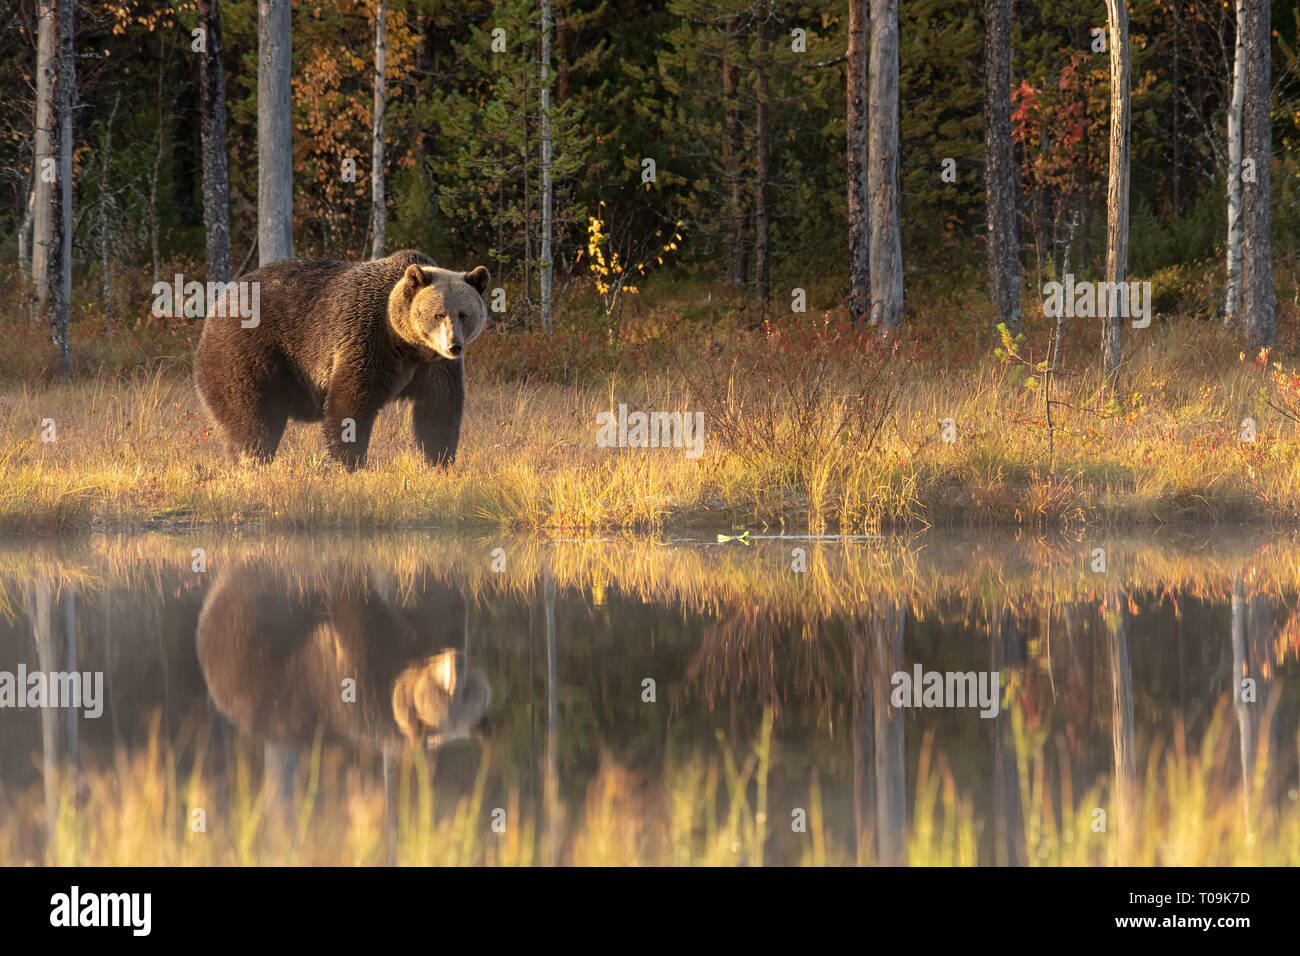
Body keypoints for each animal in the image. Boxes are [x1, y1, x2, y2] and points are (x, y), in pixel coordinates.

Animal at [194, 249, 489, 470]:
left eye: (463, 314)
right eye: (438, 314)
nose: (454, 345)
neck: (406, 343)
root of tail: (221, 300)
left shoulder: (434, 366)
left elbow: (439, 408)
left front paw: (440, 461)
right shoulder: (367, 339)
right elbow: (350, 402)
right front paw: (349, 462)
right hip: (247, 352)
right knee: (252, 415)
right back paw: (253, 459)